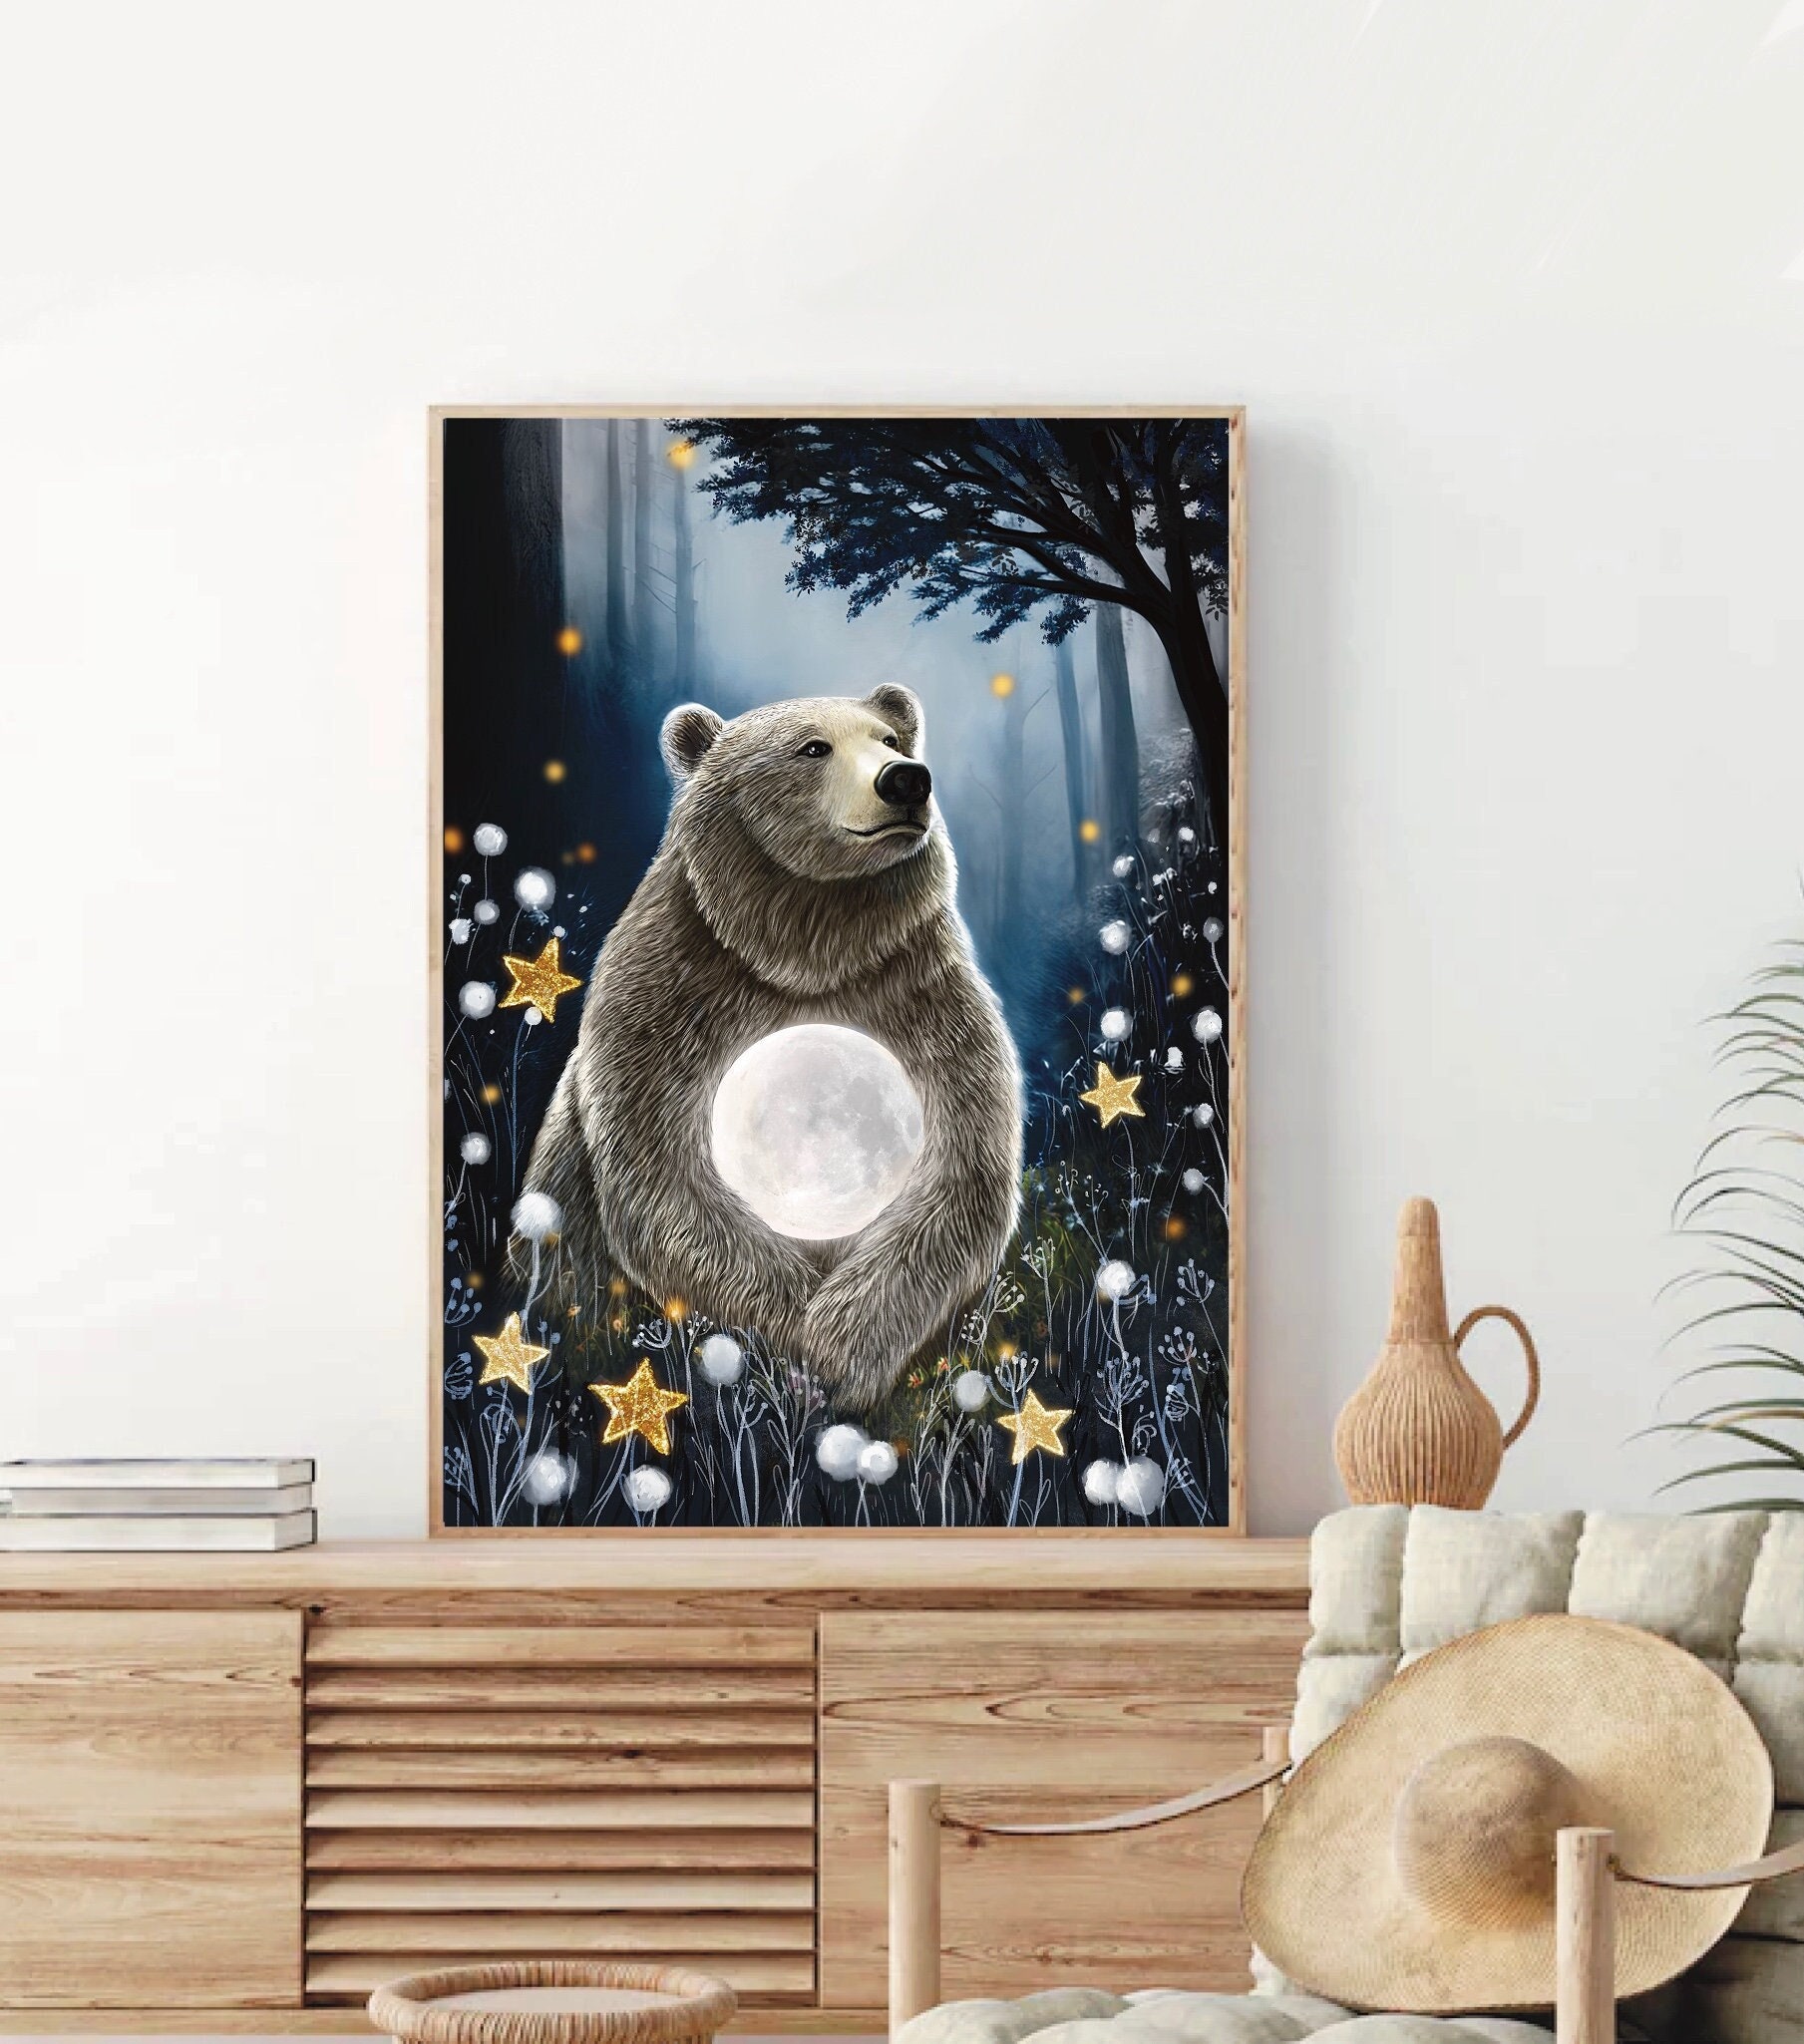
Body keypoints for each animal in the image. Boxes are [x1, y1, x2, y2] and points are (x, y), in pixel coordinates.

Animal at [523, 683, 1024, 1412]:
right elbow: (663, 1176)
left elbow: (959, 1172)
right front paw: (797, 1340)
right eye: (812, 747)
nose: (905, 779)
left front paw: (843, 1348)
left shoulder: (917, 989)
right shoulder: (671, 988)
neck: (804, 941)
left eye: (889, 738)